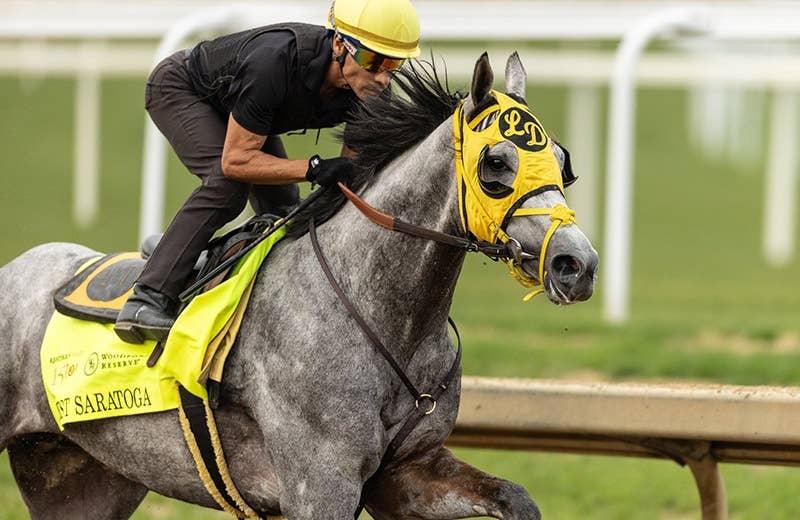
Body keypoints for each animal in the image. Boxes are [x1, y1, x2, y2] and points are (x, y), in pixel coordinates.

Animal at [0, 52, 598, 519]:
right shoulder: (319, 485)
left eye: (563, 162)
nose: (578, 263)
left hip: (84, 479)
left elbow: (517, 498)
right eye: (496, 162)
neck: (384, 315)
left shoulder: (408, 474)